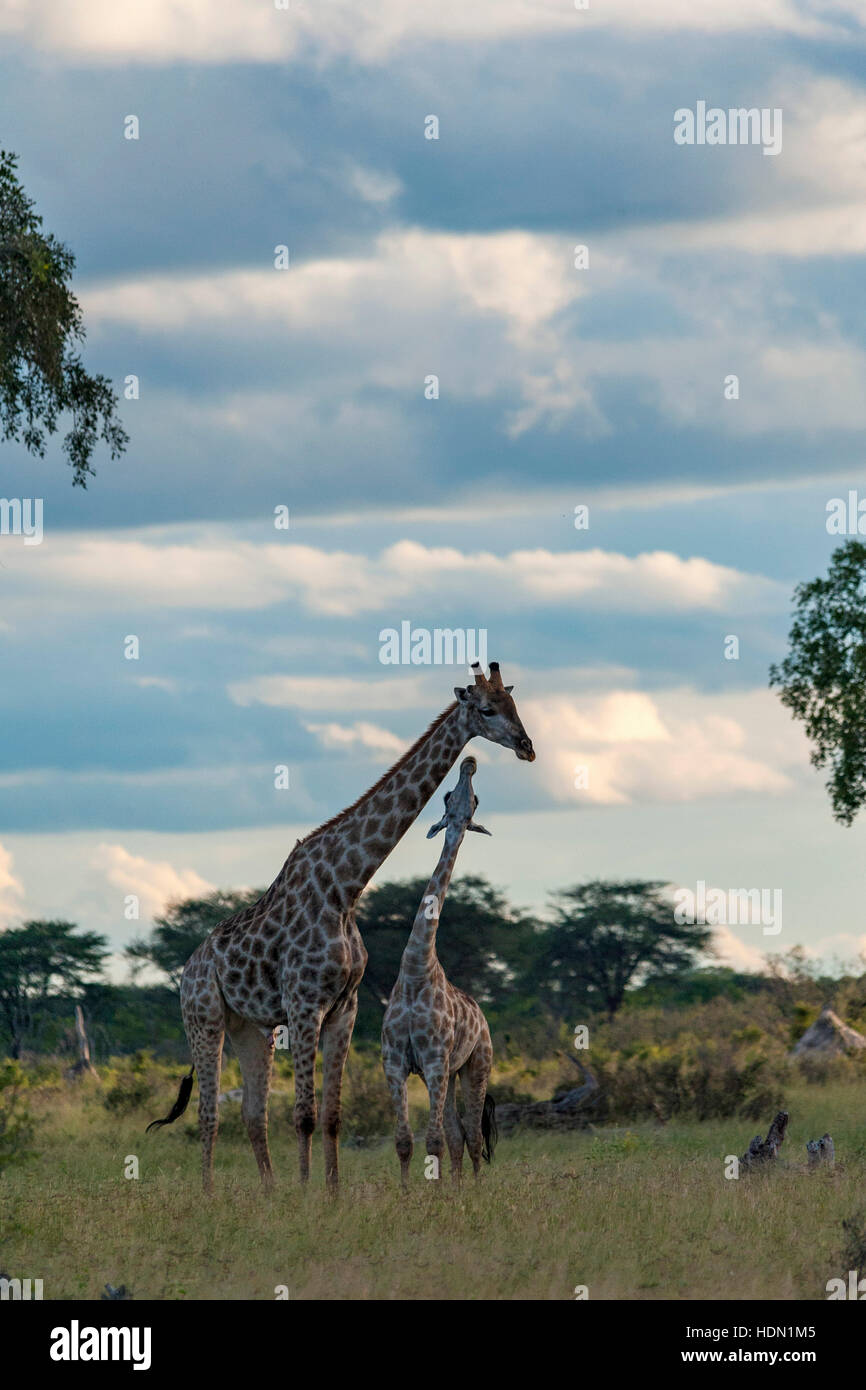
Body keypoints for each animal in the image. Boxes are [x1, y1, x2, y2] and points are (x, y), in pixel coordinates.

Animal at [382, 755, 498, 1188]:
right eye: (448, 795)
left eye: (475, 802)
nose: (470, 762)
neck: (416, 970)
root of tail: (482, 1016)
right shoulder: (395, 1063)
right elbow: (404, 1140)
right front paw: (405, 1193)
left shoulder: (433, 1061)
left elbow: (432, 1140)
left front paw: (431, 1194)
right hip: (450, 1072)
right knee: (457, 1132)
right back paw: (457, 1186)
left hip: (475, 1065)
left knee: (470, 1130)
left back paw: (475, 1188)